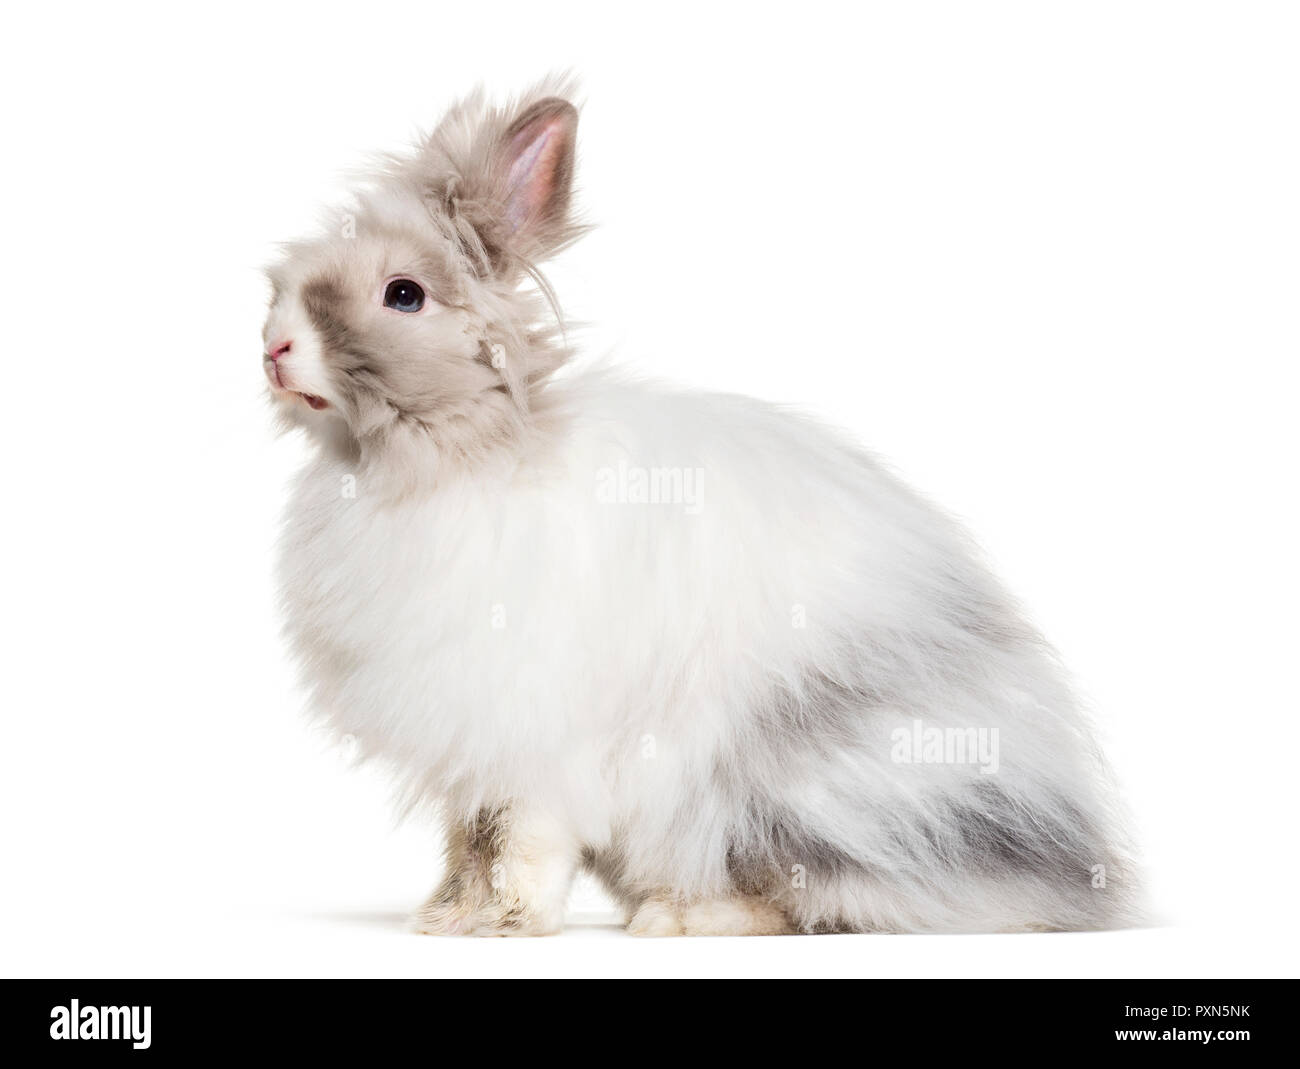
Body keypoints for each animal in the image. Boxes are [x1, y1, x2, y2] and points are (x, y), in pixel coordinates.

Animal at [265, 76, 1139, 936]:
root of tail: (1065, 876)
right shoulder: (464, 748)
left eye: (403, 294)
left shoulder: (535, 737)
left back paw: (679, 917)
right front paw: (448, 917)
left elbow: (527, 836)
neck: (448, 457)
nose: (274, 348)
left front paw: (513, 921)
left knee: (803, 902)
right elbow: (470, 838)